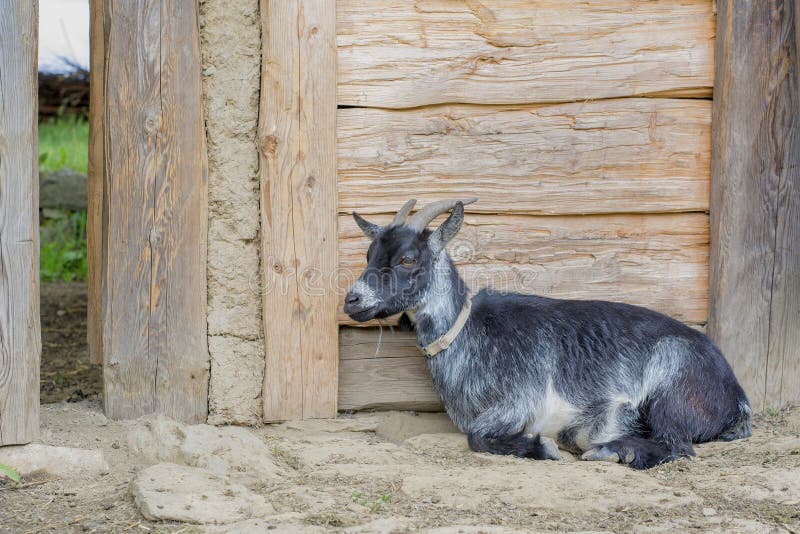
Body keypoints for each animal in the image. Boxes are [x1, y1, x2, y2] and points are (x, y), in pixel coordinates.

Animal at [344, 199, 752, 469]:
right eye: (368, 254)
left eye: (408, 258)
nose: (352, 300)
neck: (469, 333)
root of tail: (736, 397)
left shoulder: (522, 397)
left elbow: (476, 435)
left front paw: (542, 448)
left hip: (672, 384)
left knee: (677, 444)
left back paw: (613, 450)